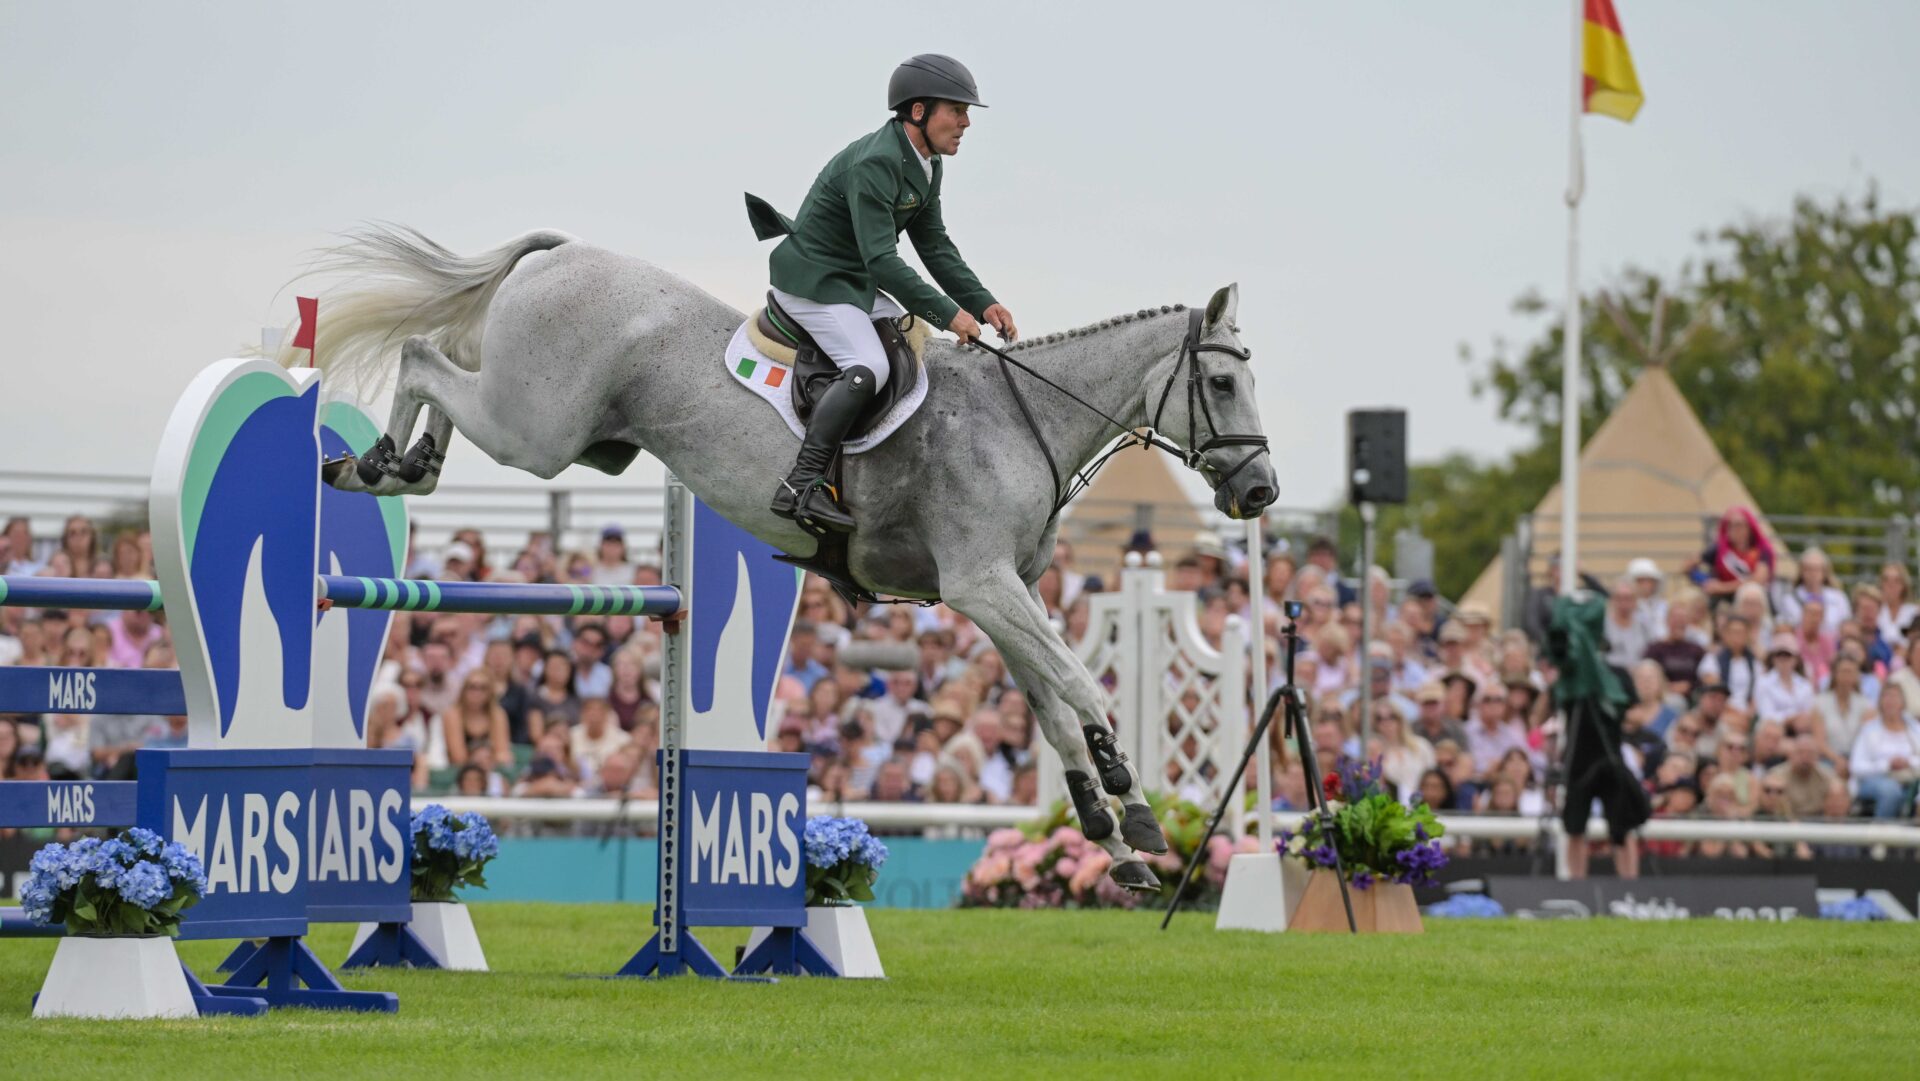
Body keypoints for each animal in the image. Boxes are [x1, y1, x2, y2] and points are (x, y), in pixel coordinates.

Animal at [292, 226, 1280, 890]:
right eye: (1221, 382)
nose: (1262, 493)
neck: (1022, 420)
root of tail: (565, 251)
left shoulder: (1007, 597)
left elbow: (1057, 710)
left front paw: (1112, 838)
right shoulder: (983, 587)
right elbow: (1083, 684)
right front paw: (1139, 809)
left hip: (560, 430)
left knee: (444, 369)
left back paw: (403, 461)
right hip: (533, 427)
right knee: (424, 353)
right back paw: (374, 460)